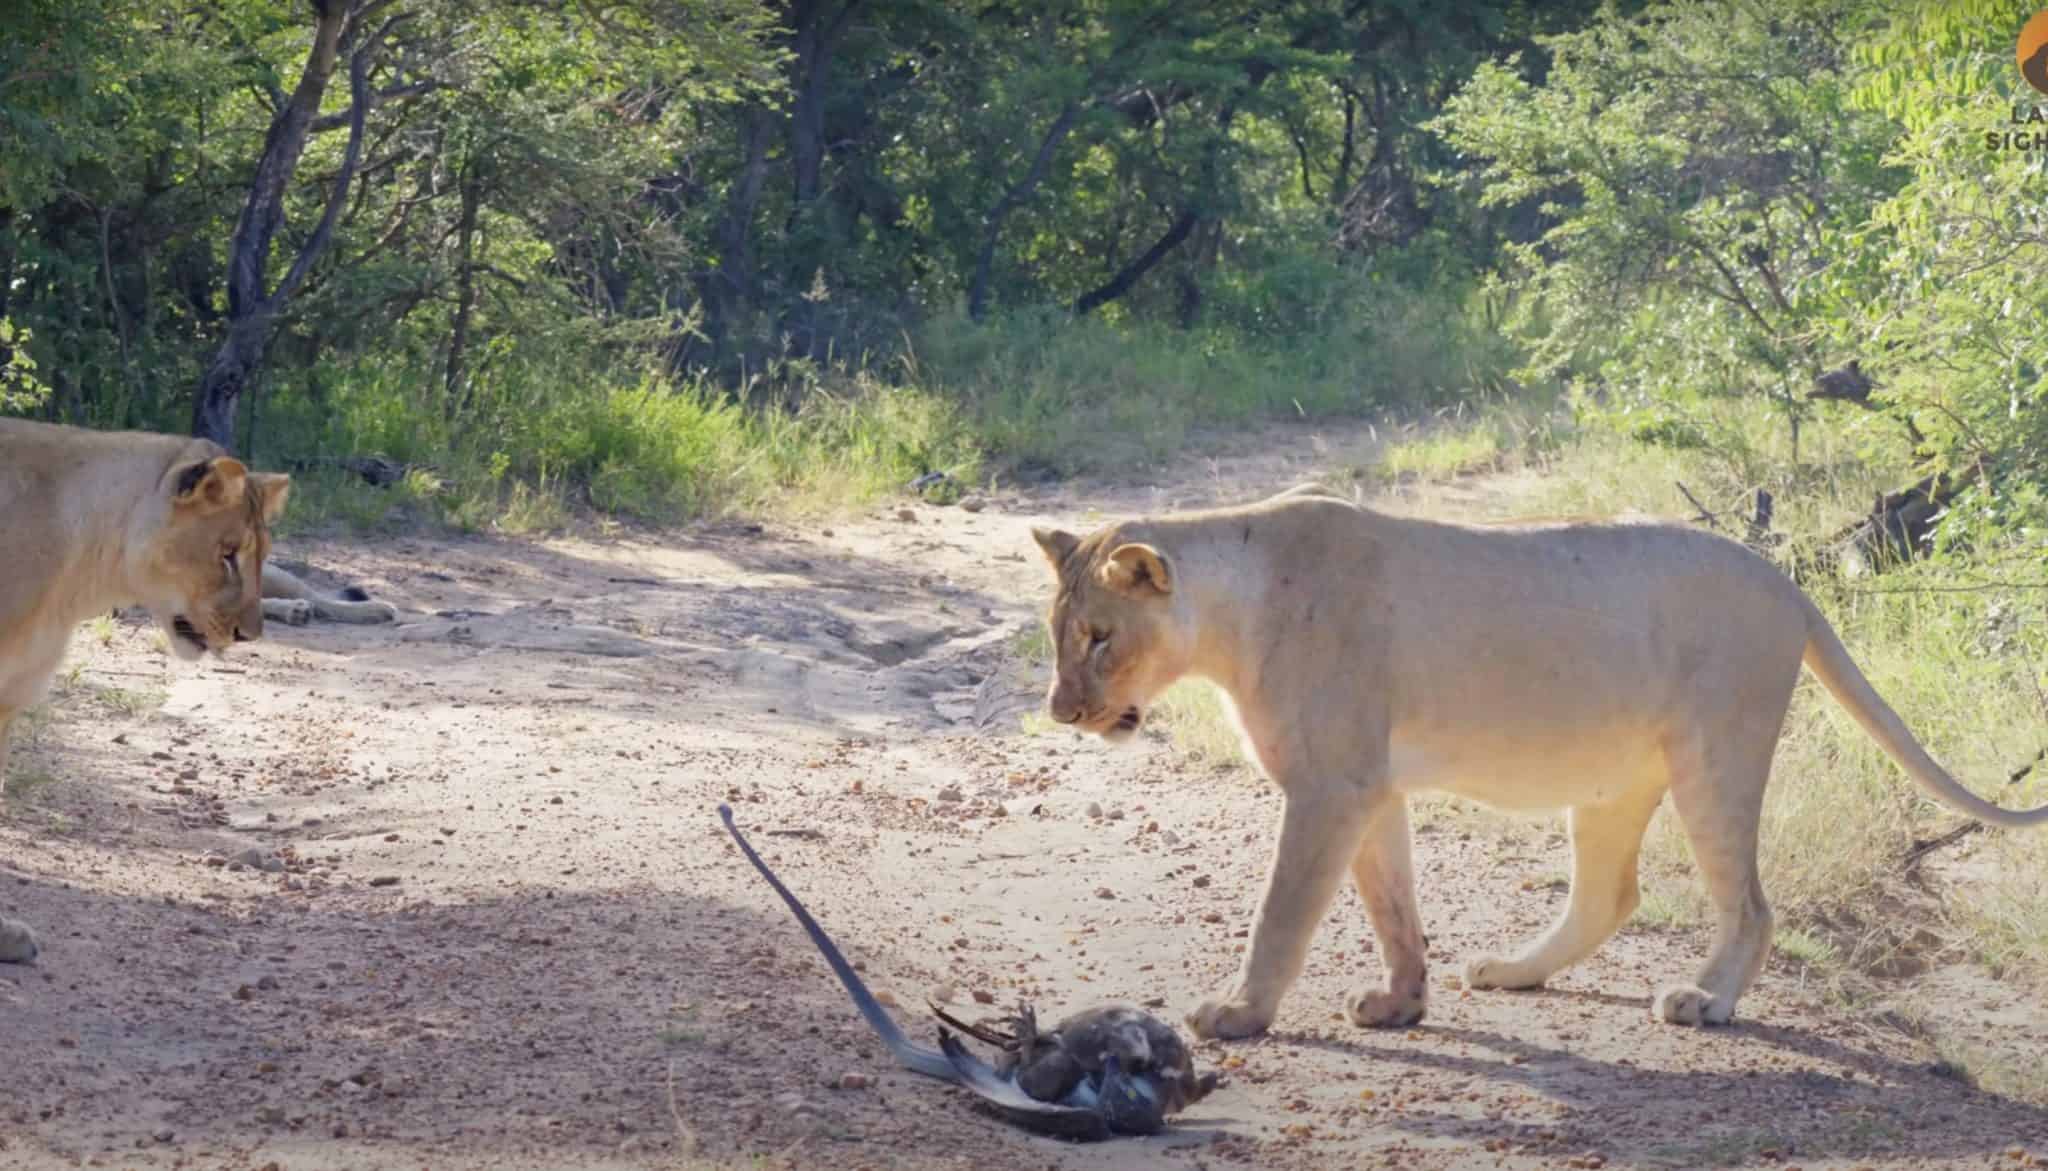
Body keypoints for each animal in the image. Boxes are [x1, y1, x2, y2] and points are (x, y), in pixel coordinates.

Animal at [1029, 483, 2048, 1038]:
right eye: (1056, 633)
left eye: (1100, 636)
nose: (1060, 710)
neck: (1232, 613)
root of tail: (1788, 582)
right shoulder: (1371, 787)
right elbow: (1392, 905)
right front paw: (1402, 1000)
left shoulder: (1328, 785)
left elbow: (1281, 914)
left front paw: (1238, 1013)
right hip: (1614, 780)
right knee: (1609, 895)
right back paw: (1513, 971)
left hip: (1715, 755)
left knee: (1751, 904)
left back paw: (1706, 1000)